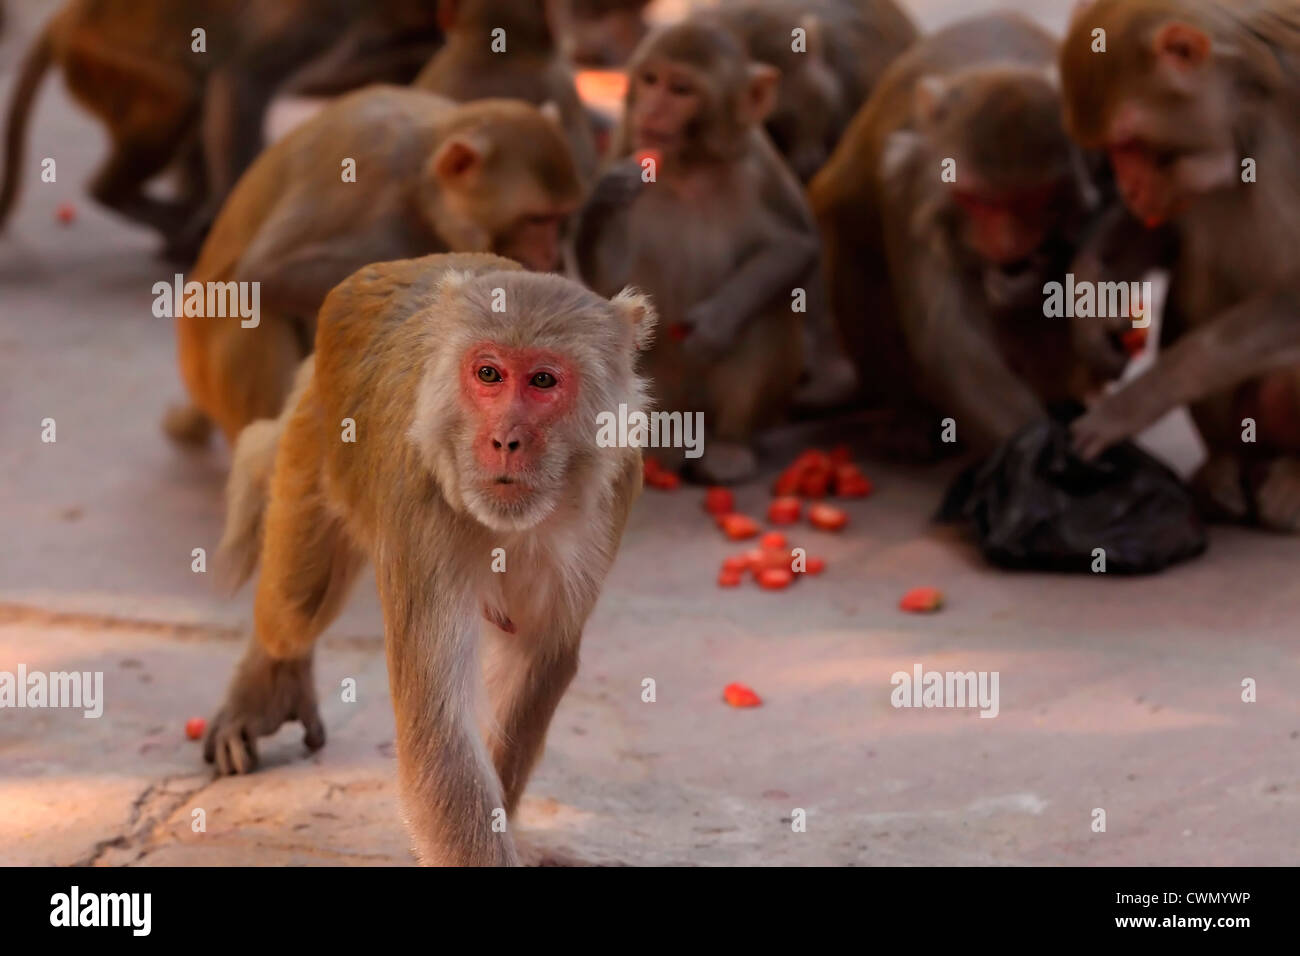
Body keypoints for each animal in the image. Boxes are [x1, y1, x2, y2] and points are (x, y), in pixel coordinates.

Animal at [165, 86, 583, 449]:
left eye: (561, 218)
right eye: (536, 220)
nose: (550, 255)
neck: (419, 172)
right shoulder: (364, 174)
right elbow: (268, 271)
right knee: (250, 311)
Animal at [203, 252, 654, 866]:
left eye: (543, 380)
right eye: (488, 375)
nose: (505, 440)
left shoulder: (614, 490)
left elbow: (538, 658)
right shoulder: (419, 501)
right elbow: (437, 729)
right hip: (317, 438)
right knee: (295, 607)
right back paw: (268, 678)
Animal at [574, 19, 857, 482]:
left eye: (680, 89)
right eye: (650, 80)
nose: (652, 110)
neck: (690, 164)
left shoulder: (759, 162)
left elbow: (795, 243)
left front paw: (715, 323)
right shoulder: (623, 145)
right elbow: (608, 285)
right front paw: (604, 197)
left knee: (767, 315)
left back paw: (728, 447)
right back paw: (660, 451)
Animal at [808, 13, 1105, 458]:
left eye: (1033, 200)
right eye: (977, 201)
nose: (1007, 244)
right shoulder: (911, 179)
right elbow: (953, 343)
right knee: (857, 255)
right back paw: (907, 417)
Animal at [1059, 0, 1300, 531]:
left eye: (1128, 144)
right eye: (1112, 150)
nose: (1128, 188)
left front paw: (1136, 402)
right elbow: (1165, 230)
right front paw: (1088, 304)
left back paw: (1292, 476)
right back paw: (1224, 465)